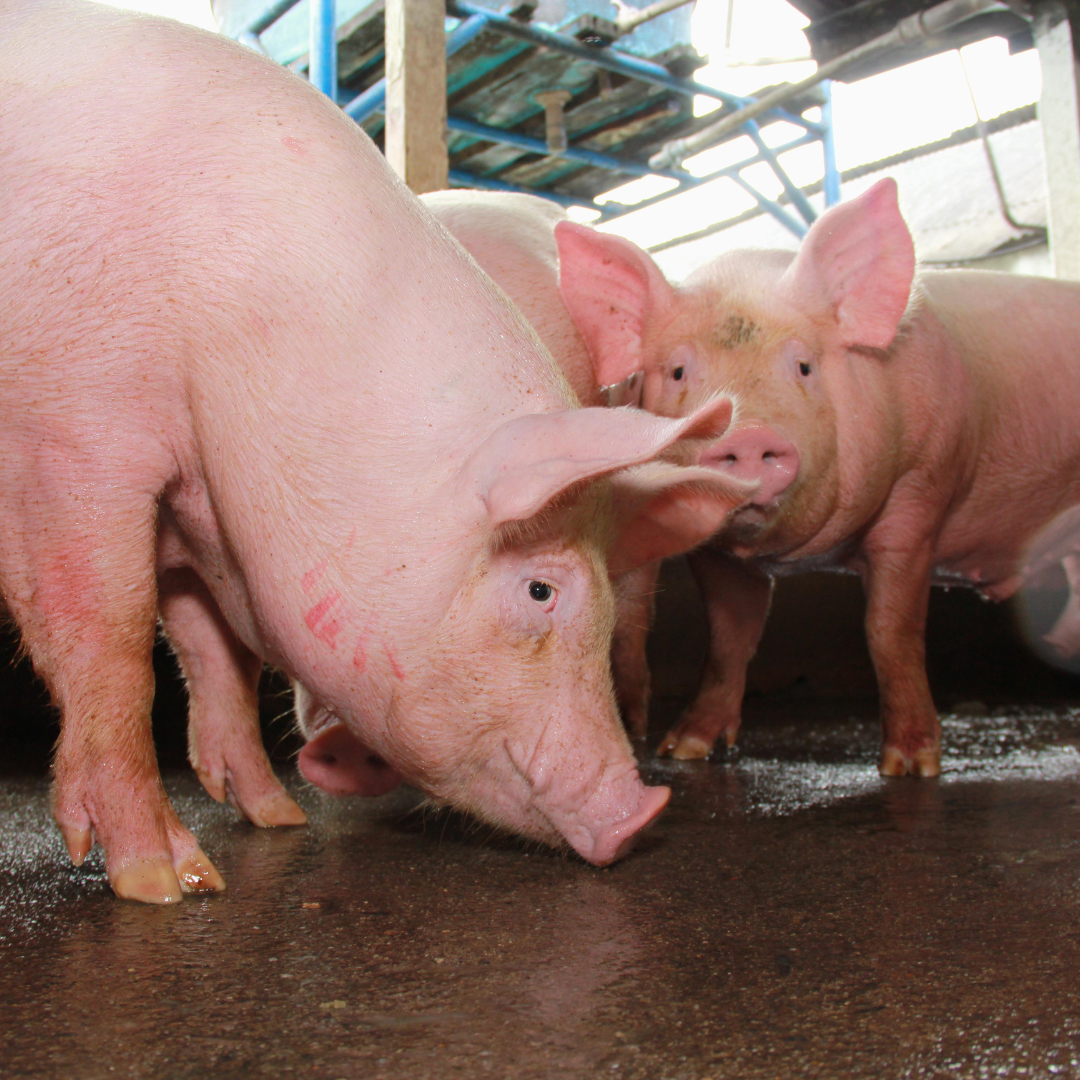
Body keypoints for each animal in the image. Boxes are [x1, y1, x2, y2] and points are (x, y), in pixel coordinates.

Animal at [0, 0, 753, 903]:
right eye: (541, 590)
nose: (641, 816)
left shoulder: (196, 499)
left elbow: (213, 653)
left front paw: (275, 819)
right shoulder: (70, 435)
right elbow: (111, 640)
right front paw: (172, 882)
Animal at [553, 177, 1080, 777]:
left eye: (803, 366)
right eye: (679, 371)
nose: (747, 435)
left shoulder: (921, 486)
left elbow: (889, 630)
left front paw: (911, 766)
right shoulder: (716, 551)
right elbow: (730, 637)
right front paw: (683, 750)